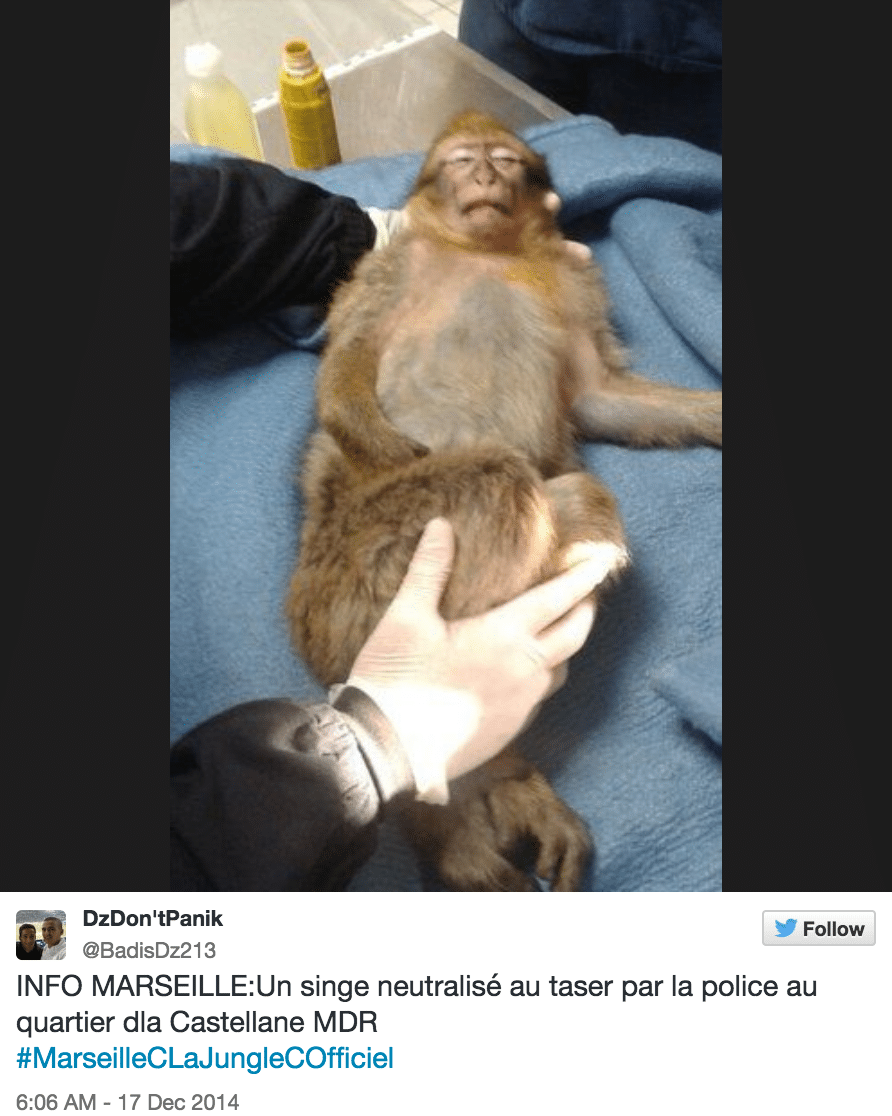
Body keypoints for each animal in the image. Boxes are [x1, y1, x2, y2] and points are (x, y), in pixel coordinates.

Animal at [285, 111, 722, 892]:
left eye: (504, 161)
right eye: (462, 160)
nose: (484, 175)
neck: (483, 252)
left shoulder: (575, 285)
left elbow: (597, 398)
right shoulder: (388, 270)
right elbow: (348, 359)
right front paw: (382, 442)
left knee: (577, 492)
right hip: (364, 565)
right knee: (498, 478)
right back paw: (460, 798)